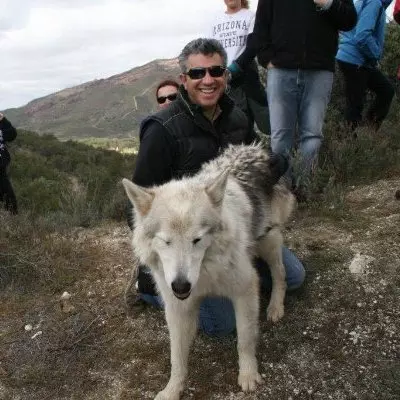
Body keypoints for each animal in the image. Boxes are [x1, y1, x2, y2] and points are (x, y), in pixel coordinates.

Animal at [123, 144, 296, 400]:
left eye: (197, 240)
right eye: (166, 241)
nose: (181, 286)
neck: (205, 272)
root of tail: (255, 150)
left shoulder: (245, 290)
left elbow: (245, 340)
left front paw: (248, 375)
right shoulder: (177, 308)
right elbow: (177, 357)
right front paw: (172, 389)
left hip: (268, 240)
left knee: (280, 273)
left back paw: (275, 307)